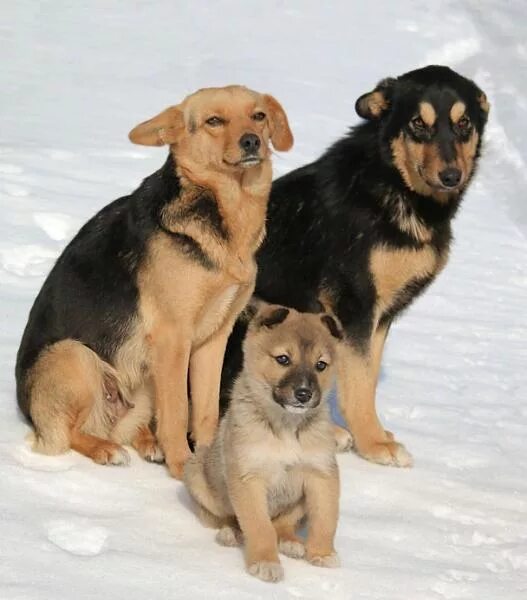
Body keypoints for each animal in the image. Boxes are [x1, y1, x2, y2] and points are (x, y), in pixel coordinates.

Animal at [16, 85, 294, 478]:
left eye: (258, 116)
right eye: (214, 121)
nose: (252, 141)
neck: (224, 210)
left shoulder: (214, 338)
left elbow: (206, 411)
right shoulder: (174, 337)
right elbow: (177, 412)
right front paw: (182, 466)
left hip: (144, 376)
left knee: (130, 425)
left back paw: (146, 442)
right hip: (74, 356)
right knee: (70, 433)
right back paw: (106, 449)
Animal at [185, 304, 342, 580]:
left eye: (321, 365)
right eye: (283, 359)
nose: (304, 394)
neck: (286, 427)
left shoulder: (322, 474)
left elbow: (325, 519)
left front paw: (322, 554)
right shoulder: (248, 478)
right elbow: (259, 527)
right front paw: (265, 562)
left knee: (283, 523)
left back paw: (291, 542)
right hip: (198, 477)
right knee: (223, 517)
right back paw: (230, 533)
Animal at [221, 67, 488, 468]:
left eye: (464, 123)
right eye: (417, 124)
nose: (451, 175)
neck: (391, 184)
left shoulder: (381, 316)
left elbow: (367, 379)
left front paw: (373, 435)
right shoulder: (355, 308)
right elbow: (358, 384)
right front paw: (374, 444)